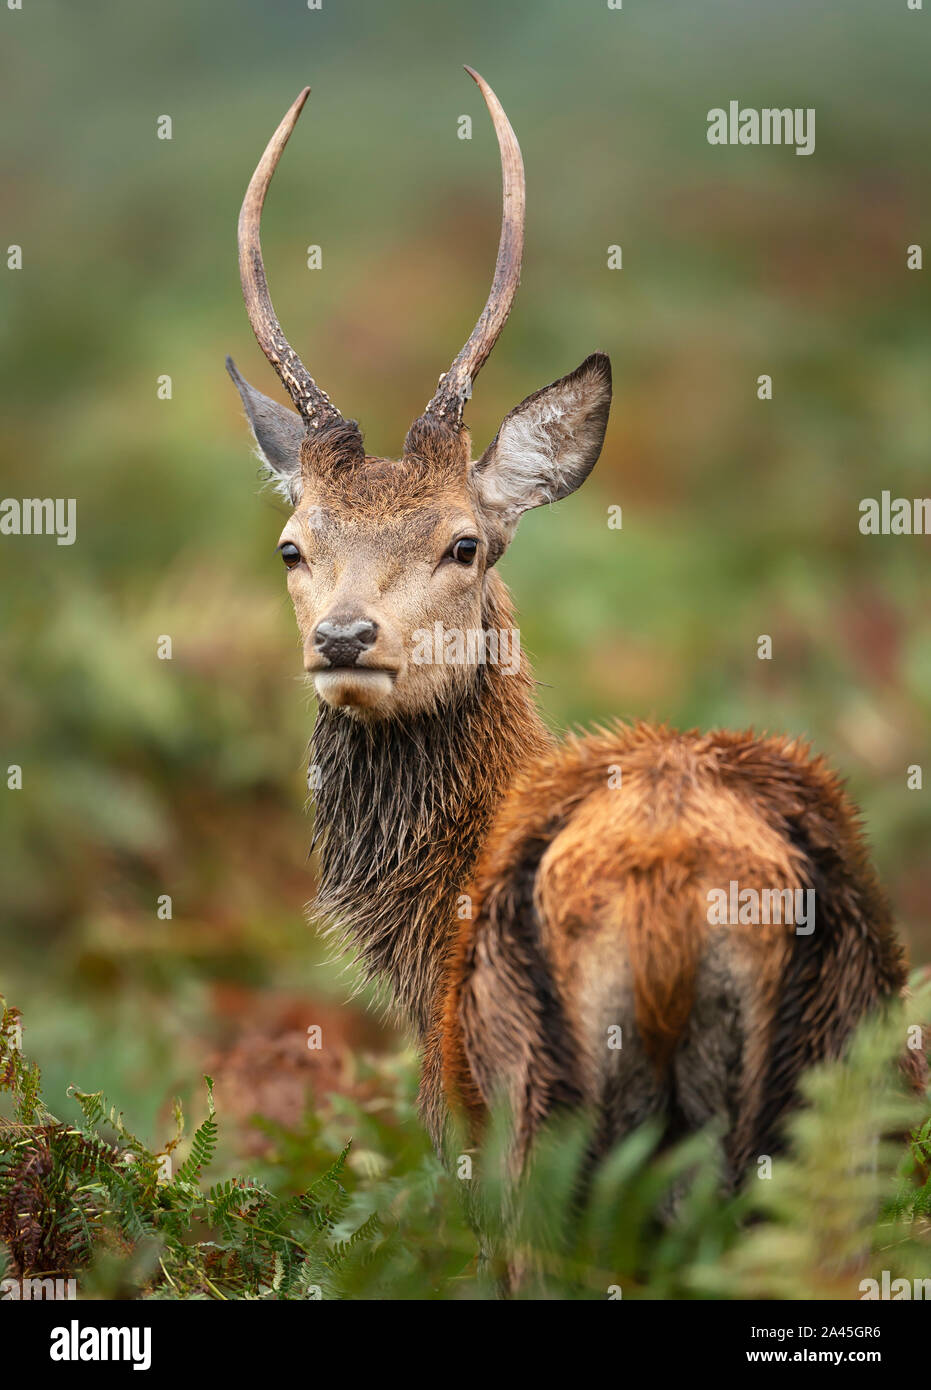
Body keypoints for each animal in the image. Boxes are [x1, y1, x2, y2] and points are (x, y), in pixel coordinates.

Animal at [225, 70, 915, 1192]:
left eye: (463, 543)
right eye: (292, 546)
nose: (344, 637)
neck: (426, 926)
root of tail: (680, 918)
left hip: (534, 1115)